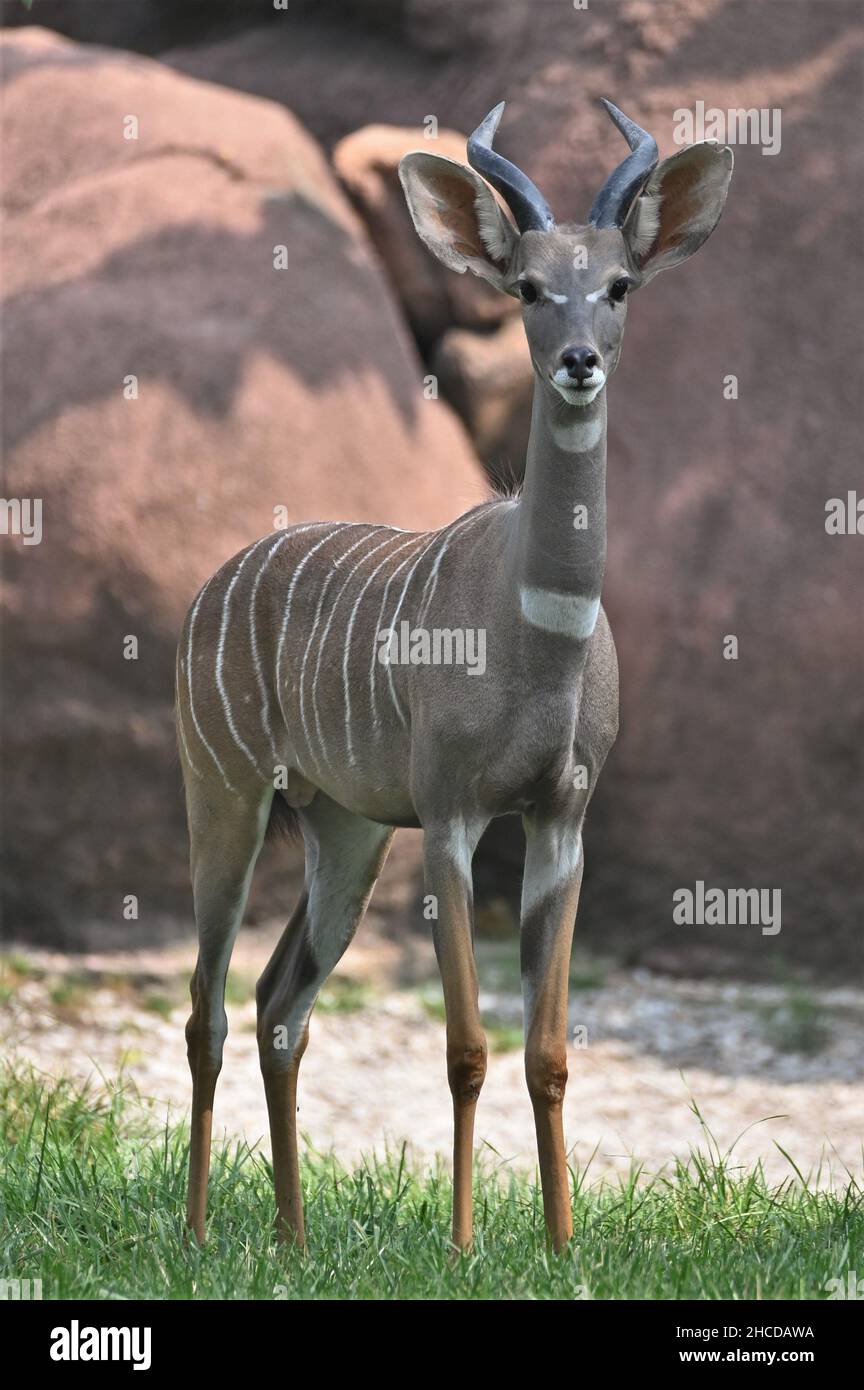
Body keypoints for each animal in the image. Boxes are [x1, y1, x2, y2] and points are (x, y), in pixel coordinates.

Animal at [176, 99, 732, 1252]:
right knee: (208, 1005)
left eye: (619, 283)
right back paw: (202, 1232)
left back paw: (294, 1239)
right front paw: (466, 1241)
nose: (578, 360)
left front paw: (563, 1245)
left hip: (343, 831)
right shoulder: (450, 817)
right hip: (228, 794)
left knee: (278, 1003)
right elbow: (467, 1046)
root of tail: (215, 583)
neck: (536, 635)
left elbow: (549, 1053)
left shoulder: (562, 821)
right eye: (526, 286)